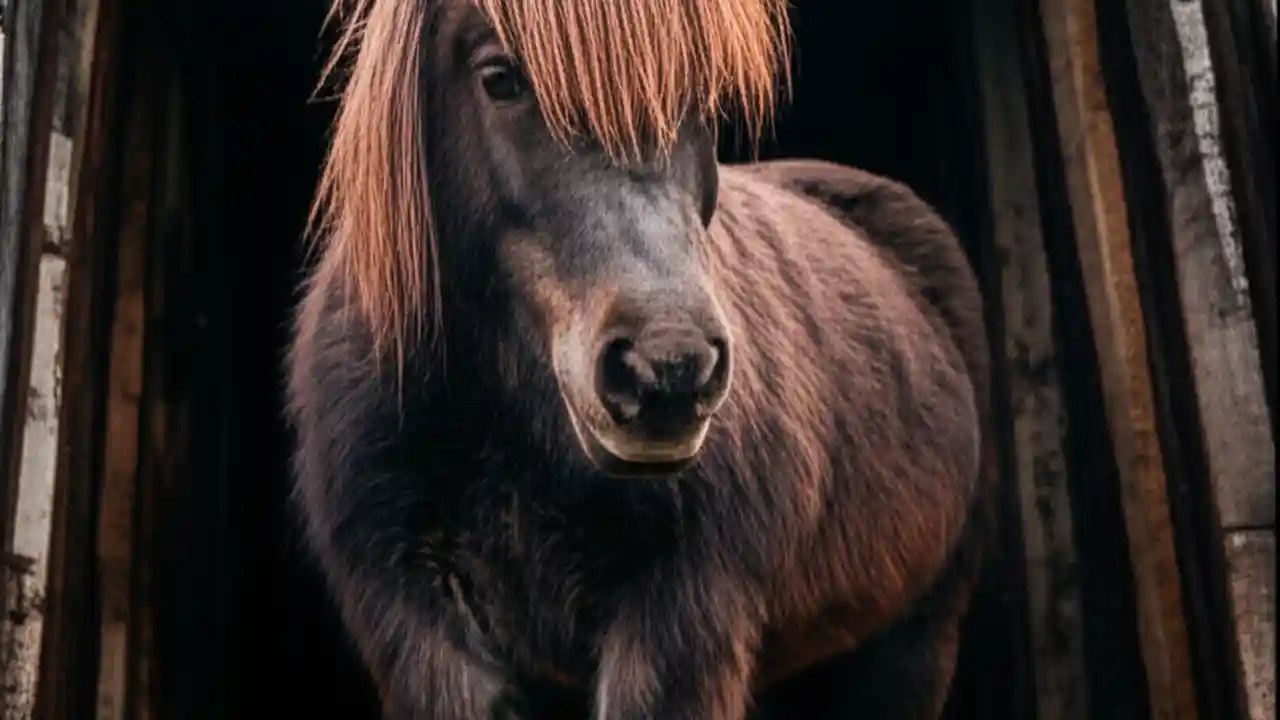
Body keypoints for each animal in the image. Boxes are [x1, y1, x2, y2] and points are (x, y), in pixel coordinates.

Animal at [284, 0, 997, 718]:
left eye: (703, 96)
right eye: (499, 77)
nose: (669, 369)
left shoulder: (681, 629)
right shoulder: (418, 634)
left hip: (915, 643)